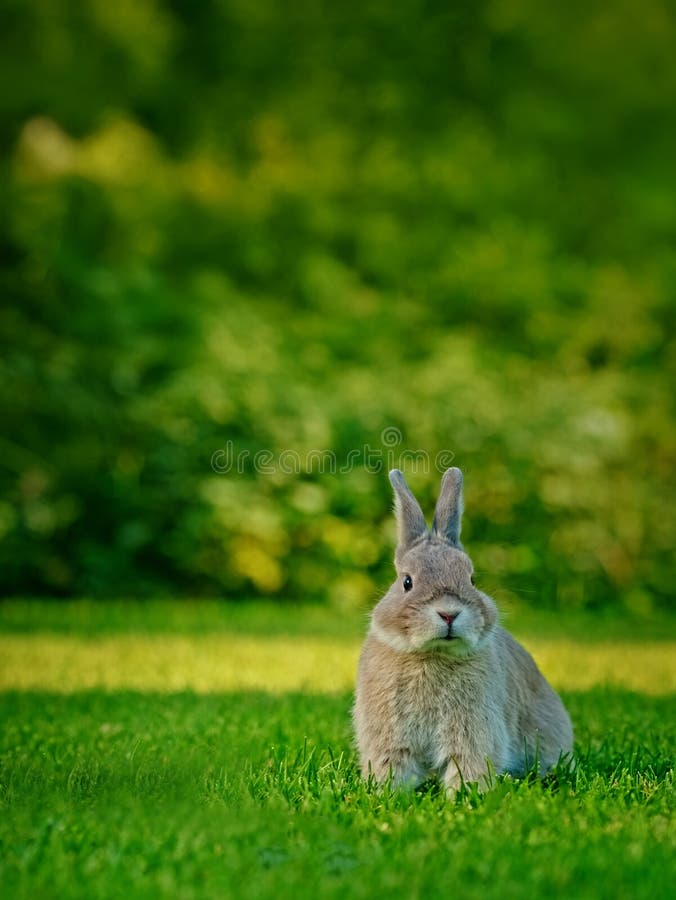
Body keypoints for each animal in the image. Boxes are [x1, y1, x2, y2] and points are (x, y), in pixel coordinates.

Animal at [353, 467, 574, 793]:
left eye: (471, 579)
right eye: (407, 582)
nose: (449, 613)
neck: (433, 654)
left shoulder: (473, 730)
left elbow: (467, 764)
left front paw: (464, 796)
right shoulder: (390, 734)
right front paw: (389, 794)